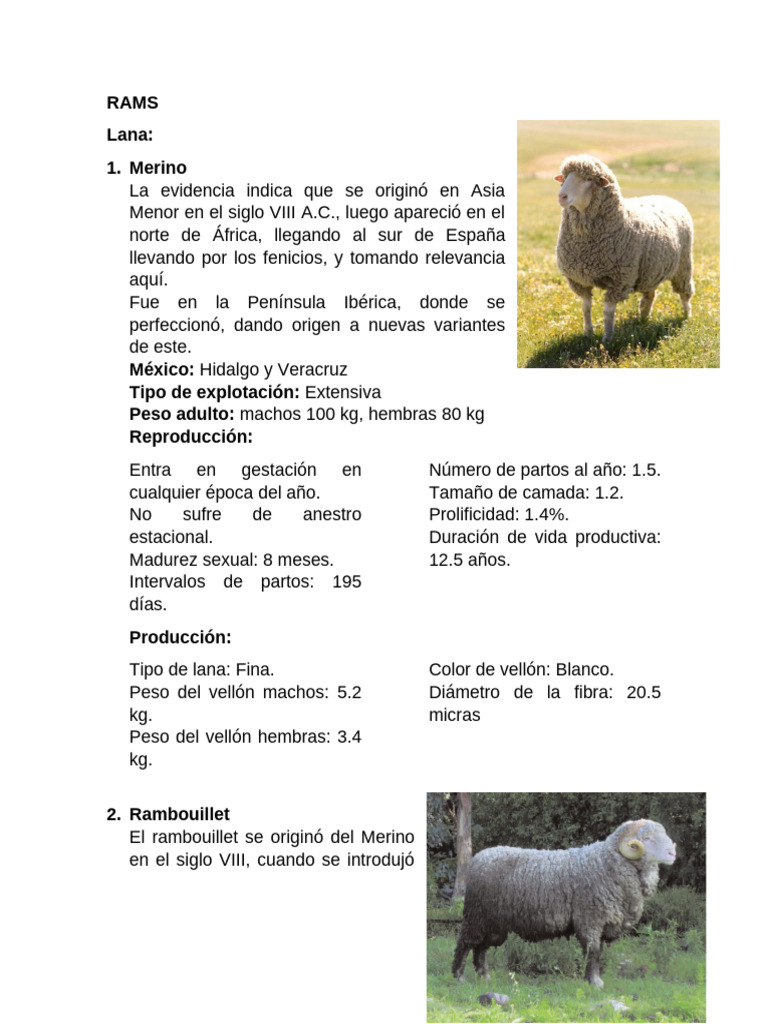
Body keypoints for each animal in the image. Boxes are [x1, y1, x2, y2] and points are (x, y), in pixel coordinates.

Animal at [451, 819, 676, 988]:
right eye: (646, 838)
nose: (673, 854)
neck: (607, 864)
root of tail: (476, 860)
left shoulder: (601, 923)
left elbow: (597, 953)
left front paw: (592, 979)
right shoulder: (590, 919)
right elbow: (593, 951)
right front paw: (595, 983)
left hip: (494, 925)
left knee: (481, 947)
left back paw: (484, 977)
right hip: (477, 915)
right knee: (465, 942)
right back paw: (458, 976)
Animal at [554, 154, 694, 344]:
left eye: (588, 179)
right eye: (564, 177)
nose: (562, 196)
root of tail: (668, 198)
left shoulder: (619, 279)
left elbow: (607, 312)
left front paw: (607, 339)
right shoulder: (580, 280)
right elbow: (585, 307)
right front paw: (588, 333)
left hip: (683, 265)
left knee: (684, 293)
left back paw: (687, 316)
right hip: (651, 269)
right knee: (649, 296)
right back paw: (643, 318)